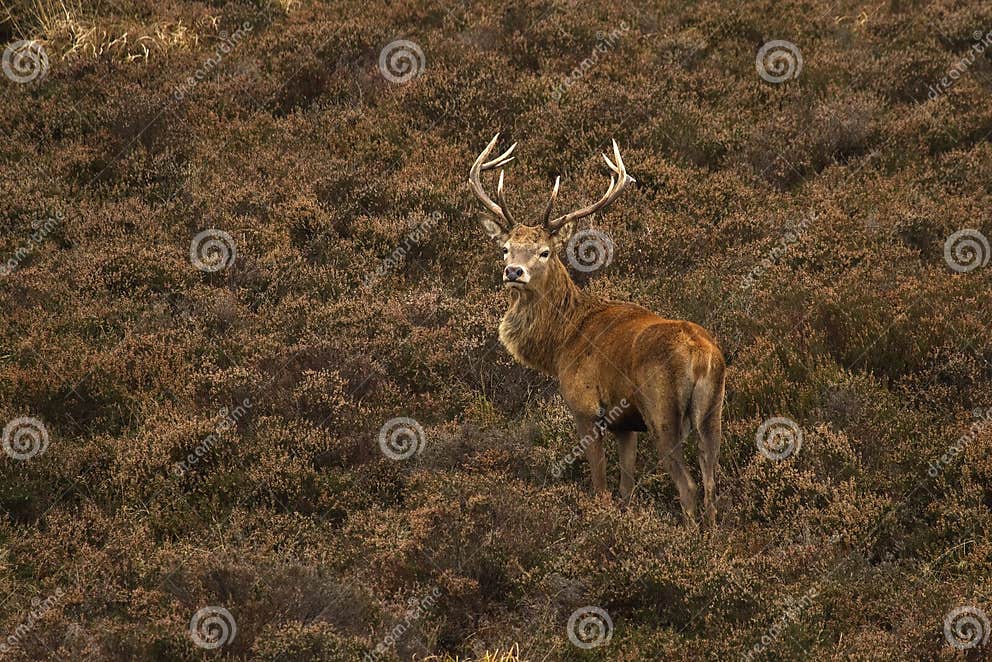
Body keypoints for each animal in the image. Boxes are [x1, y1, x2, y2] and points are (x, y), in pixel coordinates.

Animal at [468, 134, 726, 527]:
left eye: (545, 252)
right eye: (506, 249)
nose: (514, 272)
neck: (561, 343)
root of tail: (702, 357)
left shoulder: (587, 407)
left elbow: (601, 485)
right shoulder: (625, 425)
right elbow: (625, 487)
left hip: (662, 411)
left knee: (690, 486)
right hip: (712, 413)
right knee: (711, 484)